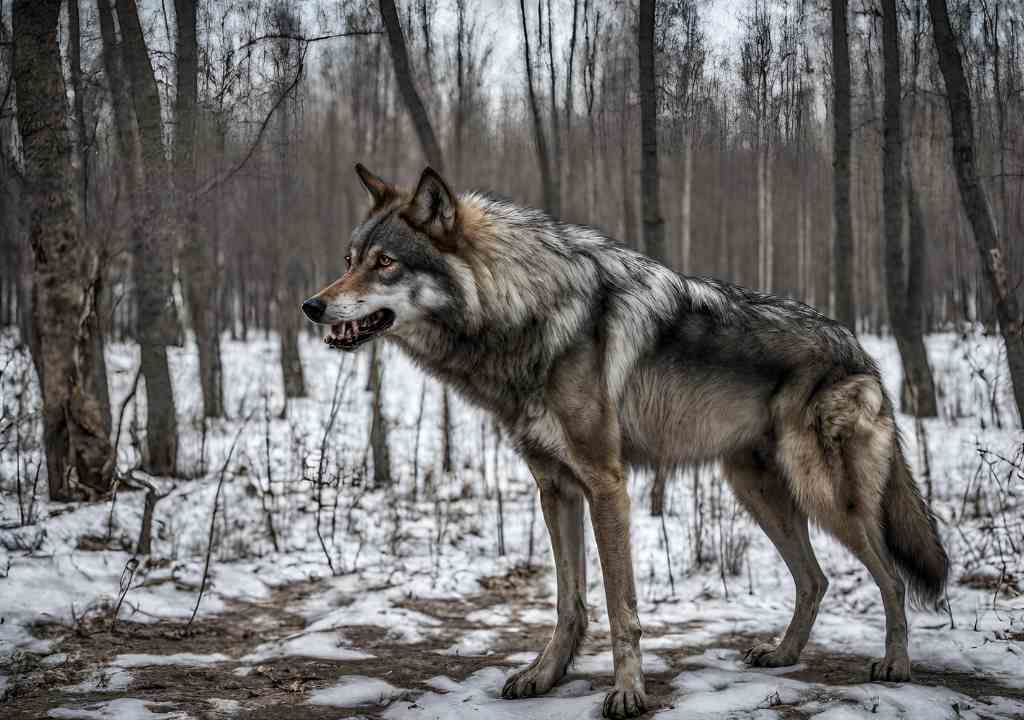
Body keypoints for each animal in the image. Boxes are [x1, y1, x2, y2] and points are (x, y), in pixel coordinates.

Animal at [301, 165, 948, 719]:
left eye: (386, 263)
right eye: (349, 259)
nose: (312, 305)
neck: (524, 311)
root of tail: (860, 348)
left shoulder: (605, 483)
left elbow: (620, 607)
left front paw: (628, 694)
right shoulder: (555, 487)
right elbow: (569, 602)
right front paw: (546, 677)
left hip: (824, 496)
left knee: (891, 578)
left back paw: (895, 665)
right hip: (755, 492)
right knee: (815, 579)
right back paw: (783, 654)